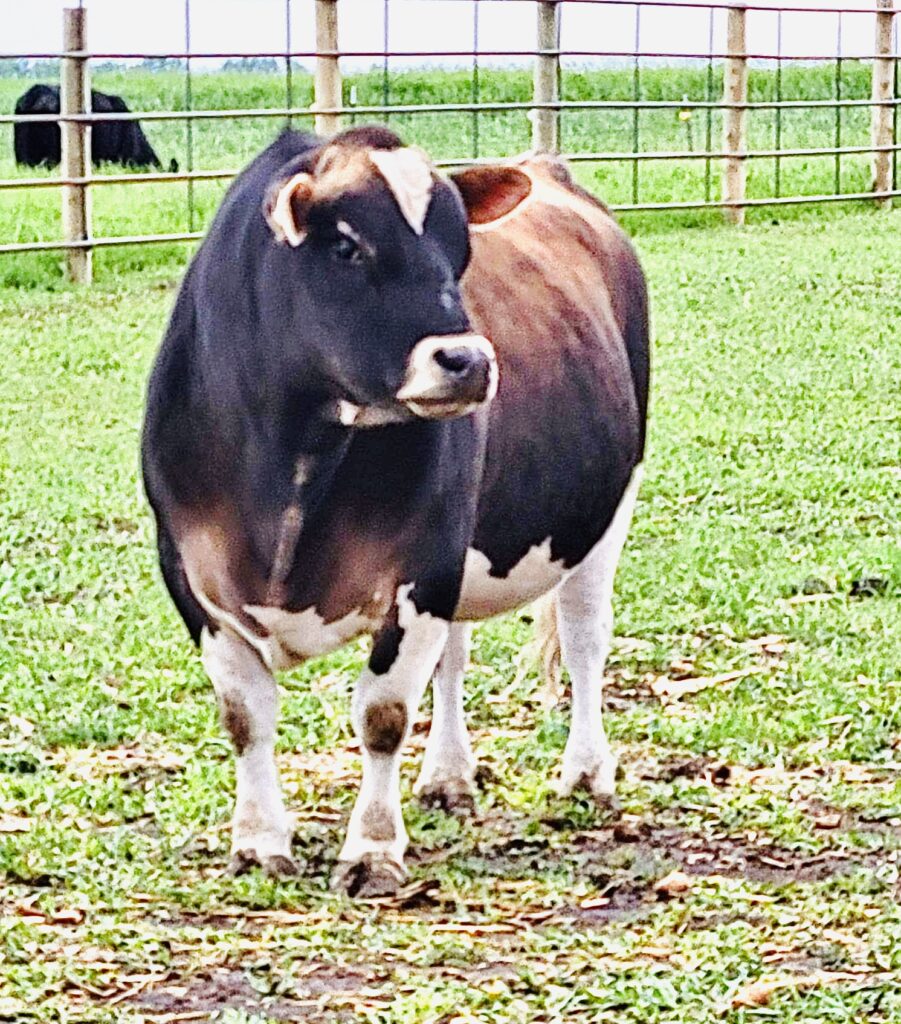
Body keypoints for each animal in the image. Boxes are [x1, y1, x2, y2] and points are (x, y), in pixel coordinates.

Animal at [141, 125, 649, 897]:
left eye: (459, 247)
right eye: (347, 246)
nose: (469, 361)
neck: (291, 467)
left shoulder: (423, 566)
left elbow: (382, 714)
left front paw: (373, 848)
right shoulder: (191, 576)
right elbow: (244, 716)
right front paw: (258, 841)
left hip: (604, 511)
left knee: (585, 639)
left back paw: (587, 773)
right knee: (456, 659)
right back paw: (448, 776)